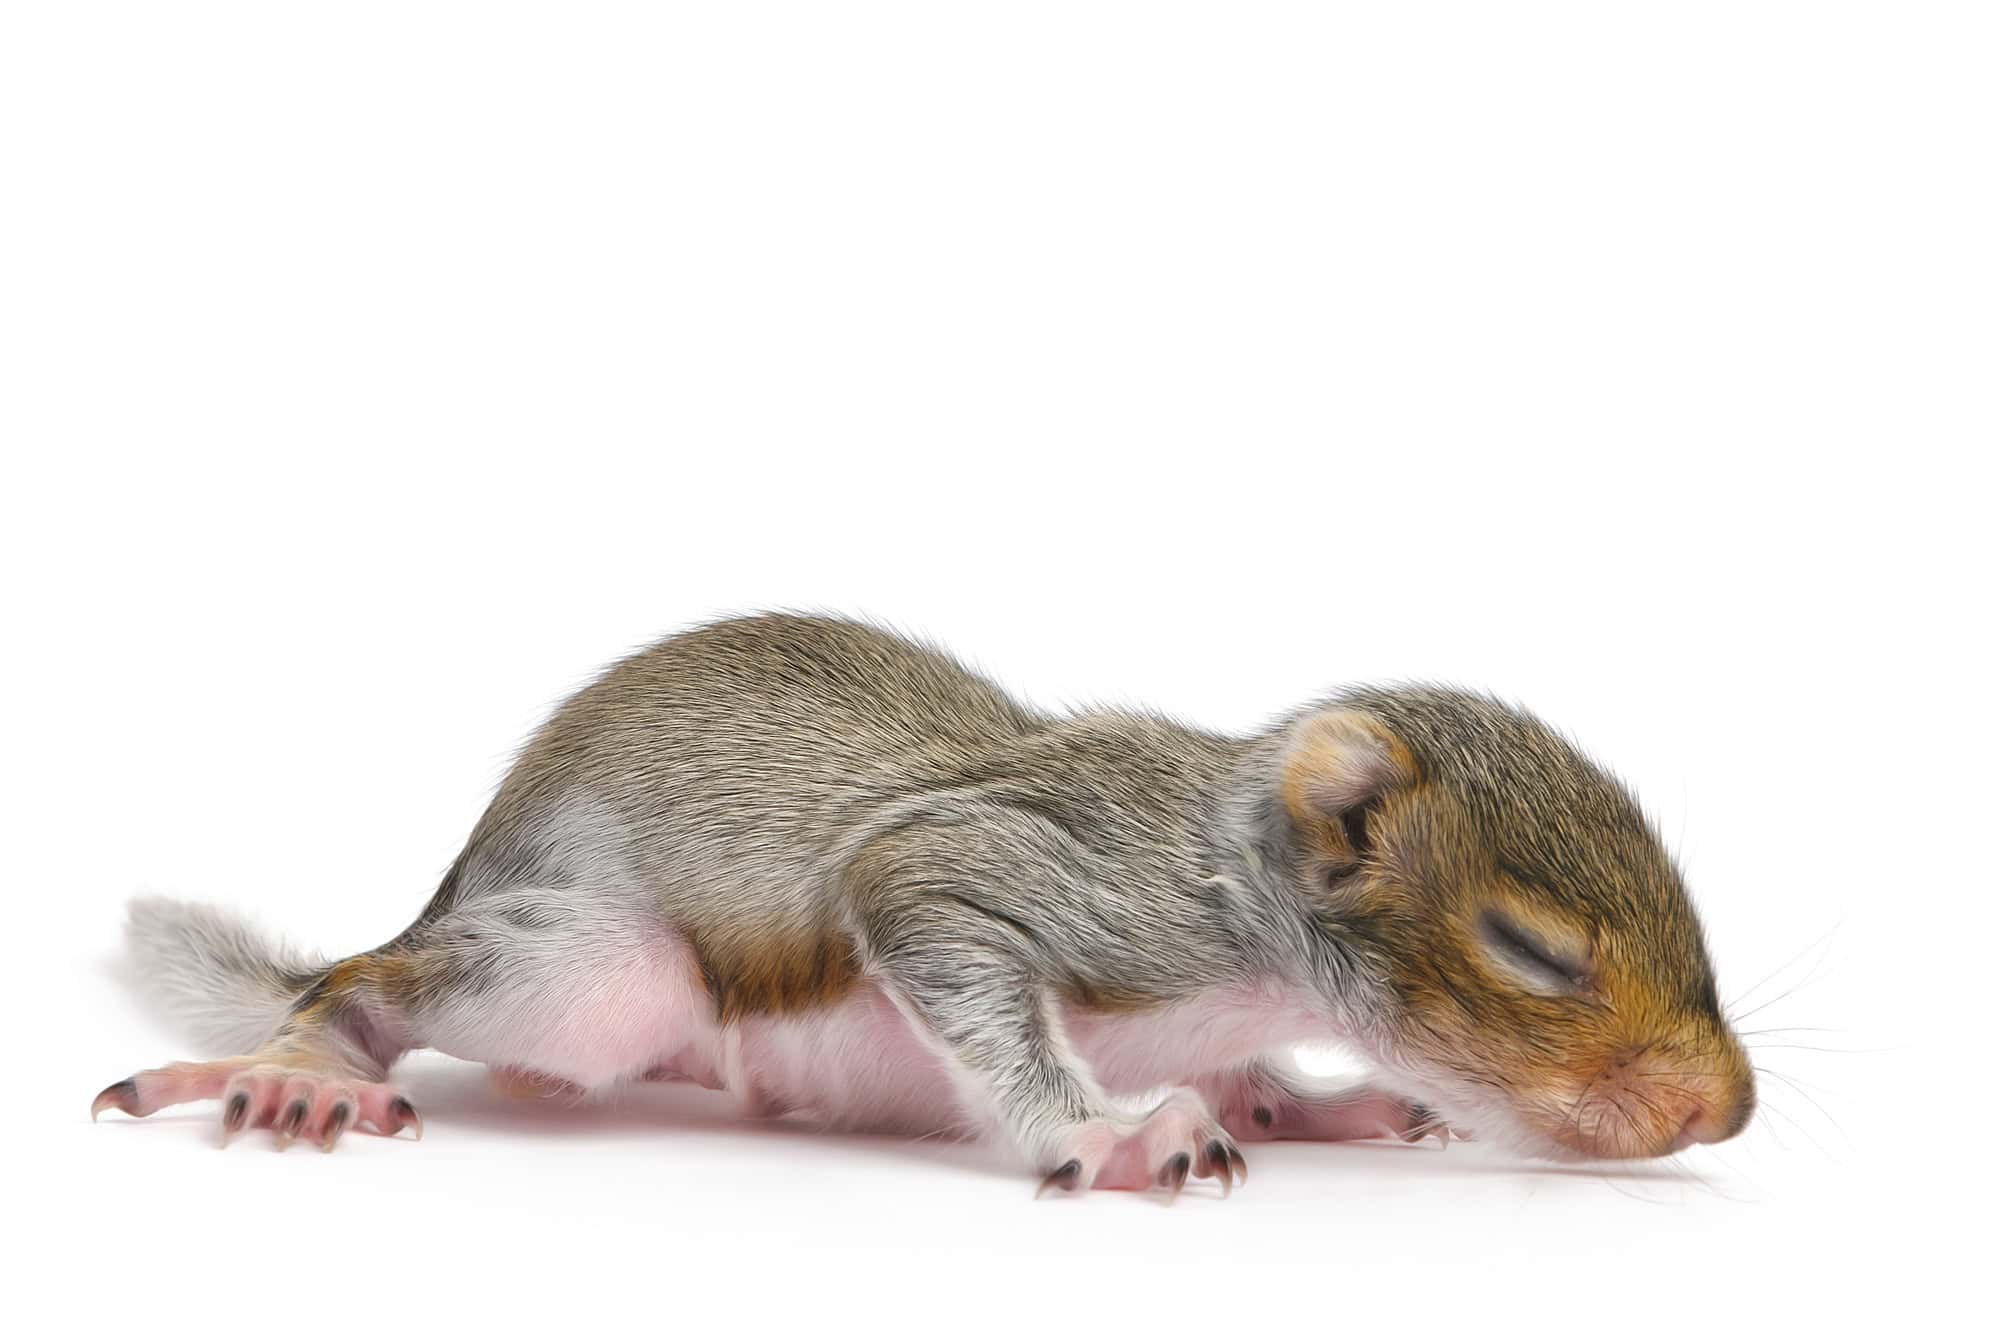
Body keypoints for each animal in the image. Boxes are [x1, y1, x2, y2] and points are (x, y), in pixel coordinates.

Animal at [93, 613, 1753, 1195]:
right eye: (1532, 949)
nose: (1727, 1110)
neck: (1246, 910)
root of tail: (461, 870)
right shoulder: (1055, 881)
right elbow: (926, 909)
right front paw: (1111, 1132)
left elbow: (1248, 1077)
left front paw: (1317, 1103)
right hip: (596, 975)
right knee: (361, 989)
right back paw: (305, 1069)